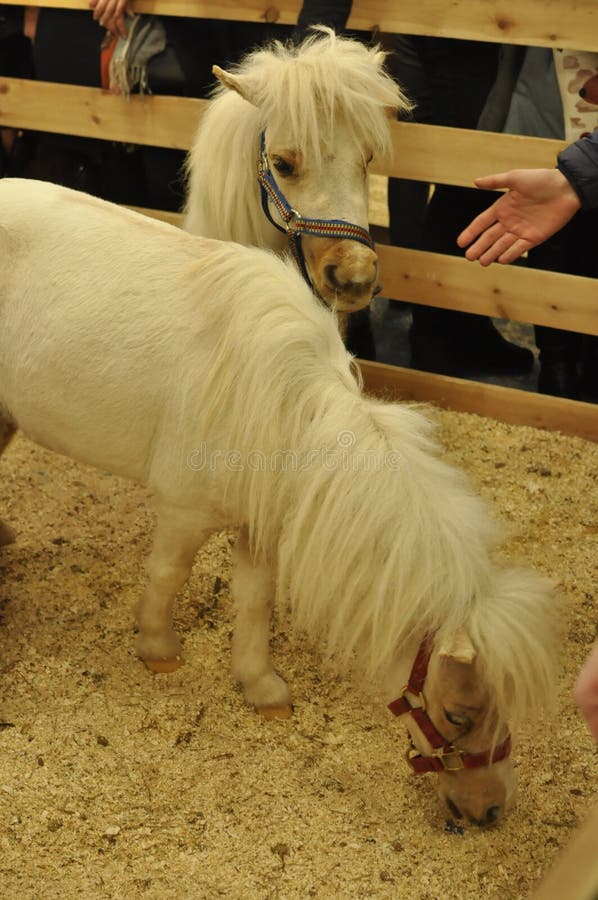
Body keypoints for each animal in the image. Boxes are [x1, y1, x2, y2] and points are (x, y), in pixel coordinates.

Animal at [0, 180, 557, 826]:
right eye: (458, 715)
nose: (491, 809)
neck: (284, 403)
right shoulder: (184, 510)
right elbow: (168, 576)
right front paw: (158, 648)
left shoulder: (260, 520)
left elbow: (255, 601)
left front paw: (260, 685)